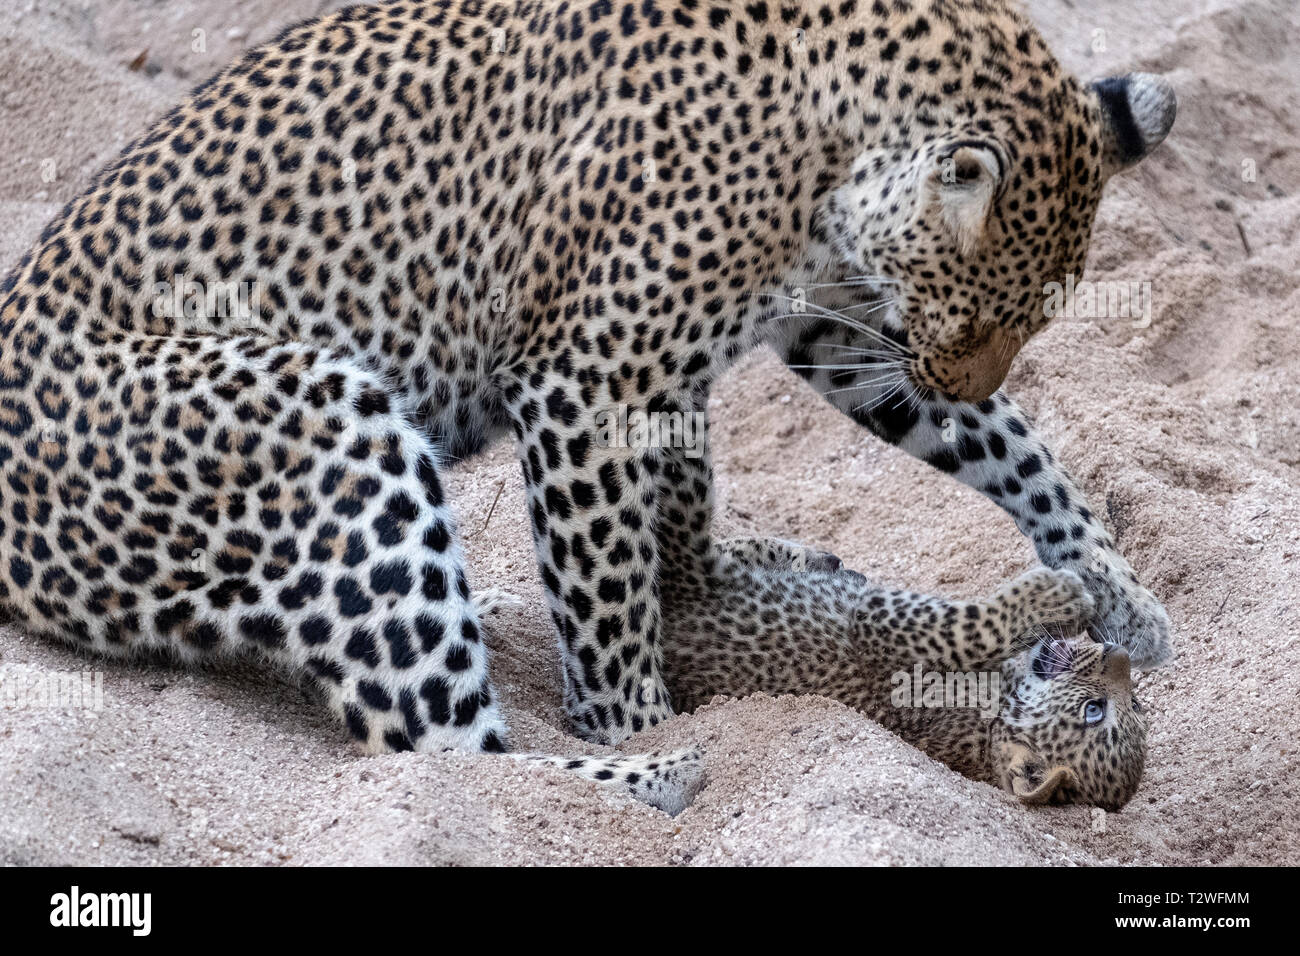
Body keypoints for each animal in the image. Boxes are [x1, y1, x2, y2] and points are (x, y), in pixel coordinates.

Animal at [0, 0, 1175, 814]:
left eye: (1029, 322)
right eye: (978, 313)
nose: (948, 376)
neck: (827, 153)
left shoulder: (835, 329)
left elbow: (1009, 445)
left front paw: (1115, 590)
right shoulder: (589, 378)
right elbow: (605, 594)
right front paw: (634, 721)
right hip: (328, 422)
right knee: (450, 752)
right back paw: (666, 768)